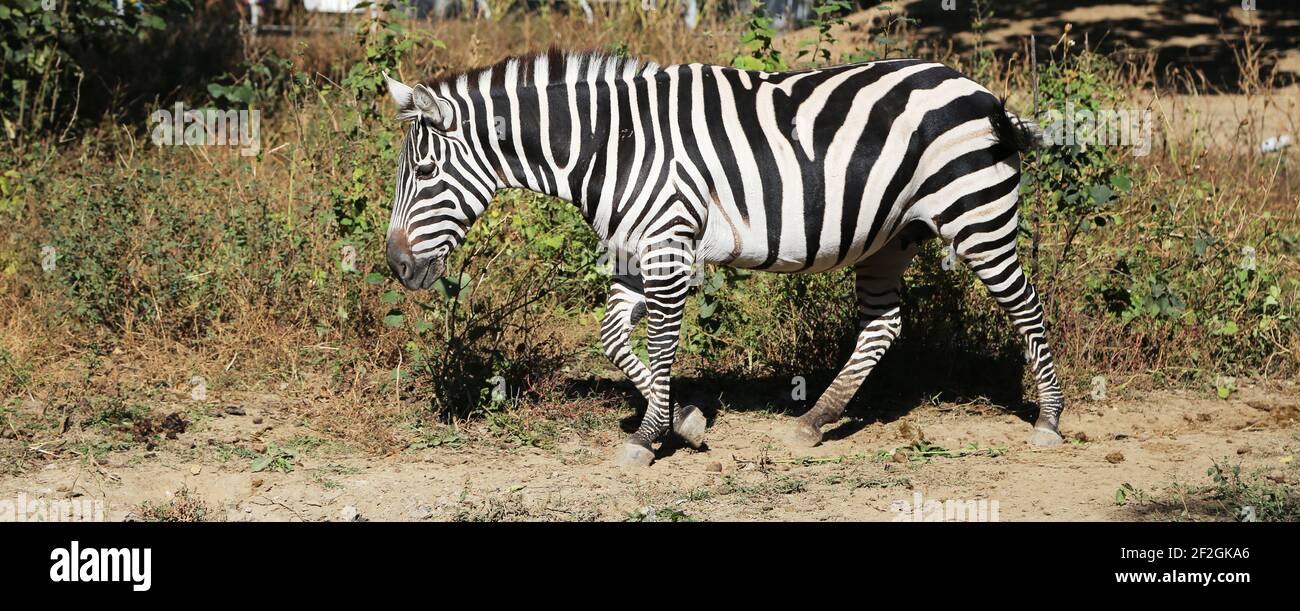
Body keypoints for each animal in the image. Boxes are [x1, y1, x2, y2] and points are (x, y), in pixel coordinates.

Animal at [382, 51, 1066, 467]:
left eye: (424, 171)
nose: (396, 268)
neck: (610, 147)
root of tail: (981, 91)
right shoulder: (636, 252)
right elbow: (612, 338)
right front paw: (681, 421)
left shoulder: (668, 246)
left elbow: (660, 344)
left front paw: (650, 438)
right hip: (889, 238)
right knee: (883, 325)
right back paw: (814, 421)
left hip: (976, 218)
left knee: (1027, 308)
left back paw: (1050, 422)